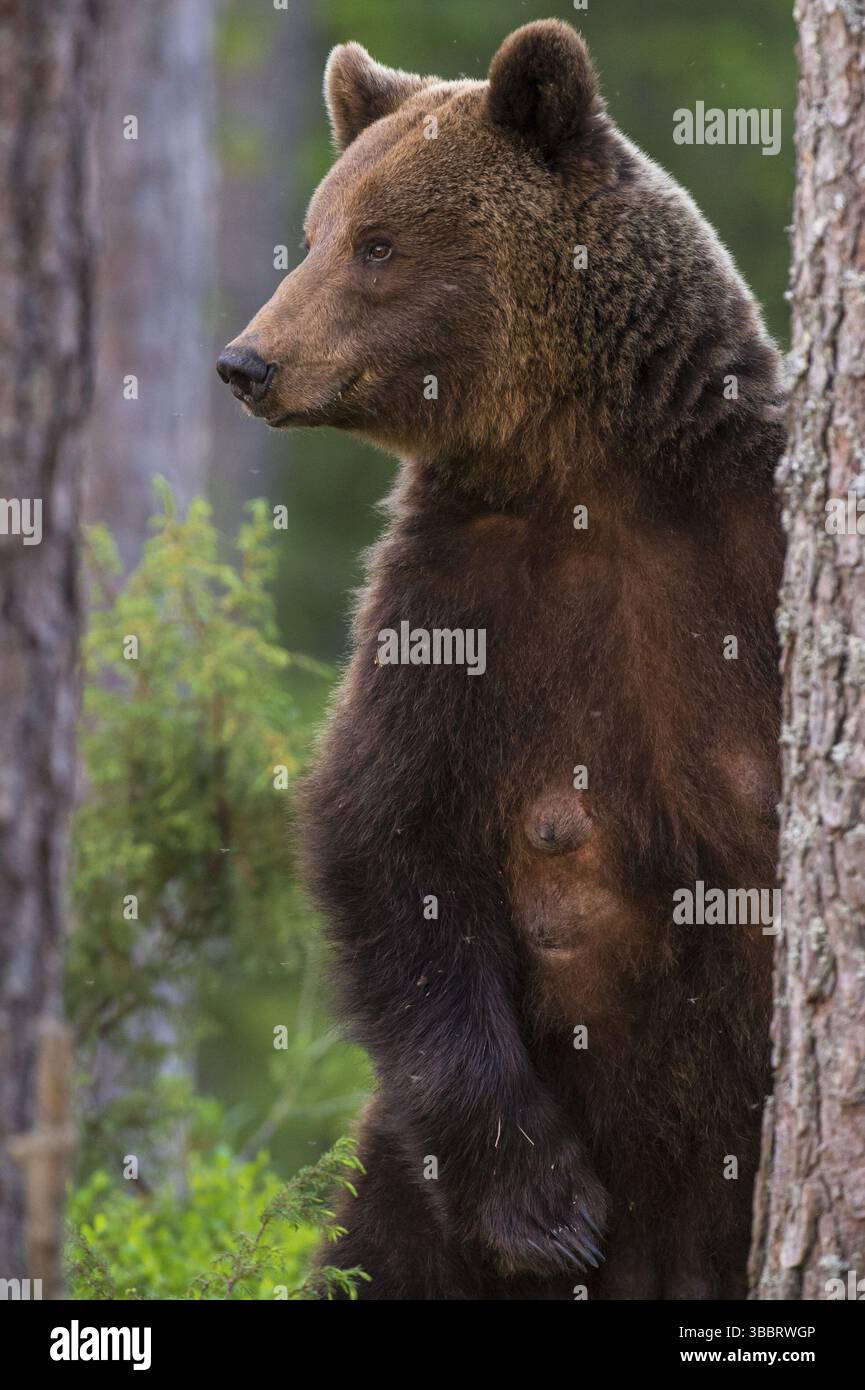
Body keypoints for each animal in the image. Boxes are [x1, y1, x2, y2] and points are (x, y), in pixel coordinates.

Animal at [216, 20, 786, 1300]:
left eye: (377, 242)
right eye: (317, 230)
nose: (246, 361)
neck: (585, 466)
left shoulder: (746, 543)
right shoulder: (454, 598)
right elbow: (387, 831)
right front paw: (550, 1210)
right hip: (405, 1180)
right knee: (376, 1247)